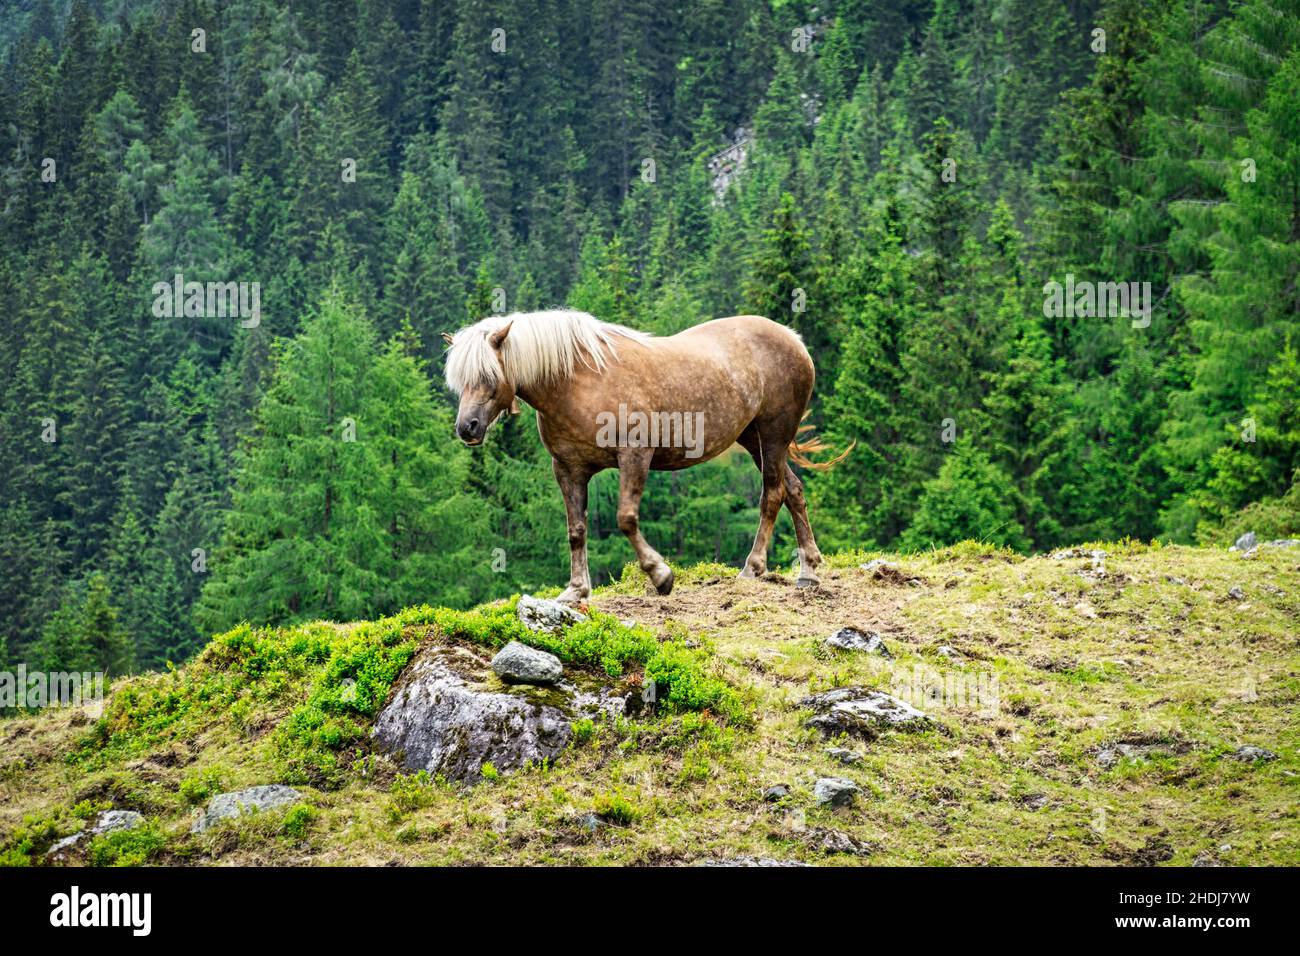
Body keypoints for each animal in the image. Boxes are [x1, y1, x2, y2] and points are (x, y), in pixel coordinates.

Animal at [443, 309, 849, 604]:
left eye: (489, 376)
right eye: (458, 381)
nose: (467, 427)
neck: (578, 383)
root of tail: (793, 339)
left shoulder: (634, 456)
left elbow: (625, 518)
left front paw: (660, 575)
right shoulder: (569, 470)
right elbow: (576, 529)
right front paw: (576, 590)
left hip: (774, 435)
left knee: (772, 494)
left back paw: (753, 567)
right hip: (755, 440)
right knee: (793, 489)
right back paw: (809, 569)